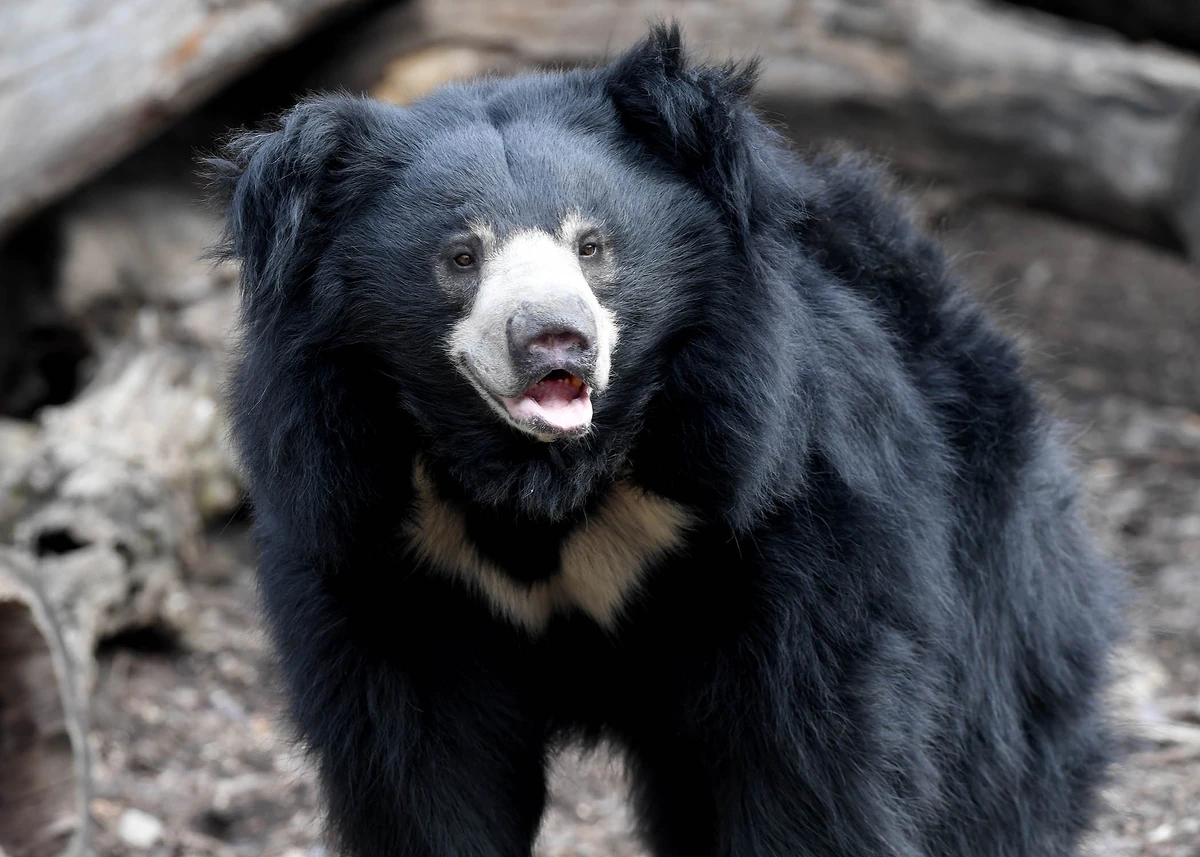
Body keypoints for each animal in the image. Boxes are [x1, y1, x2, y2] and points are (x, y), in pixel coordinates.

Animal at [205, 23, 1126, 857]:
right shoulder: (378, 537)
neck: (546, 479)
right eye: (461, 256)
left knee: (994, 768)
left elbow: (816, 741)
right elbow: (423, 764)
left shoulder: (786, 502)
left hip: (996, 572)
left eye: (592, 245)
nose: (555, 339)